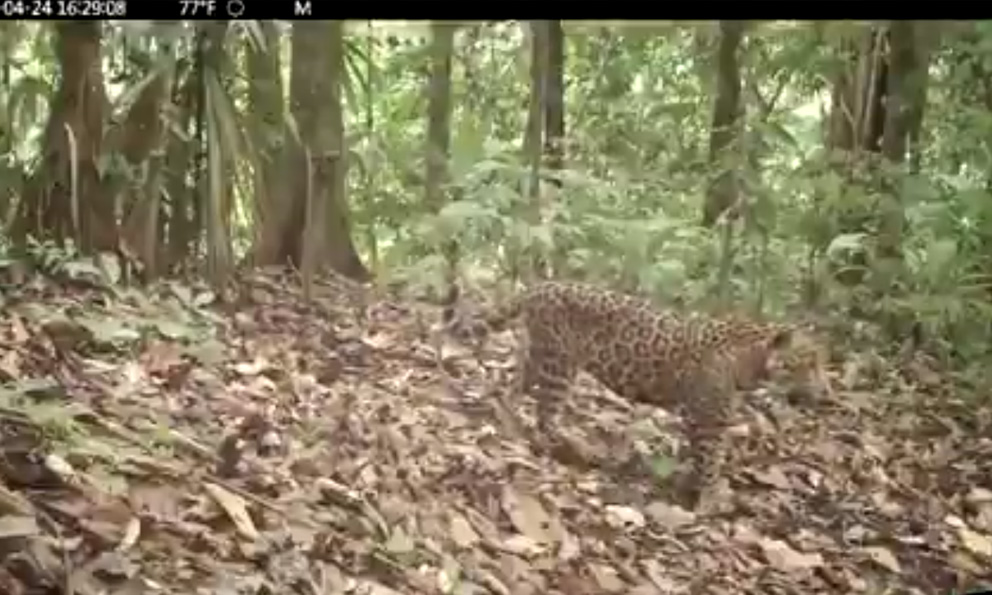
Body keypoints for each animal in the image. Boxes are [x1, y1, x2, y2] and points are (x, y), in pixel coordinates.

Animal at [441, 280, 830, 511]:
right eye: (807, 364)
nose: (827, 394)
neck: (752, 361)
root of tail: (539, 286)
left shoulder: (713, 418)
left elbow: (709, 458)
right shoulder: (705, 417)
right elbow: (708, 460)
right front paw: (707, 501)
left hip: (539, 356)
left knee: (514, 386)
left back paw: (510, 422)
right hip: (559, 365)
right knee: (546, 412)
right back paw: (568, 448)